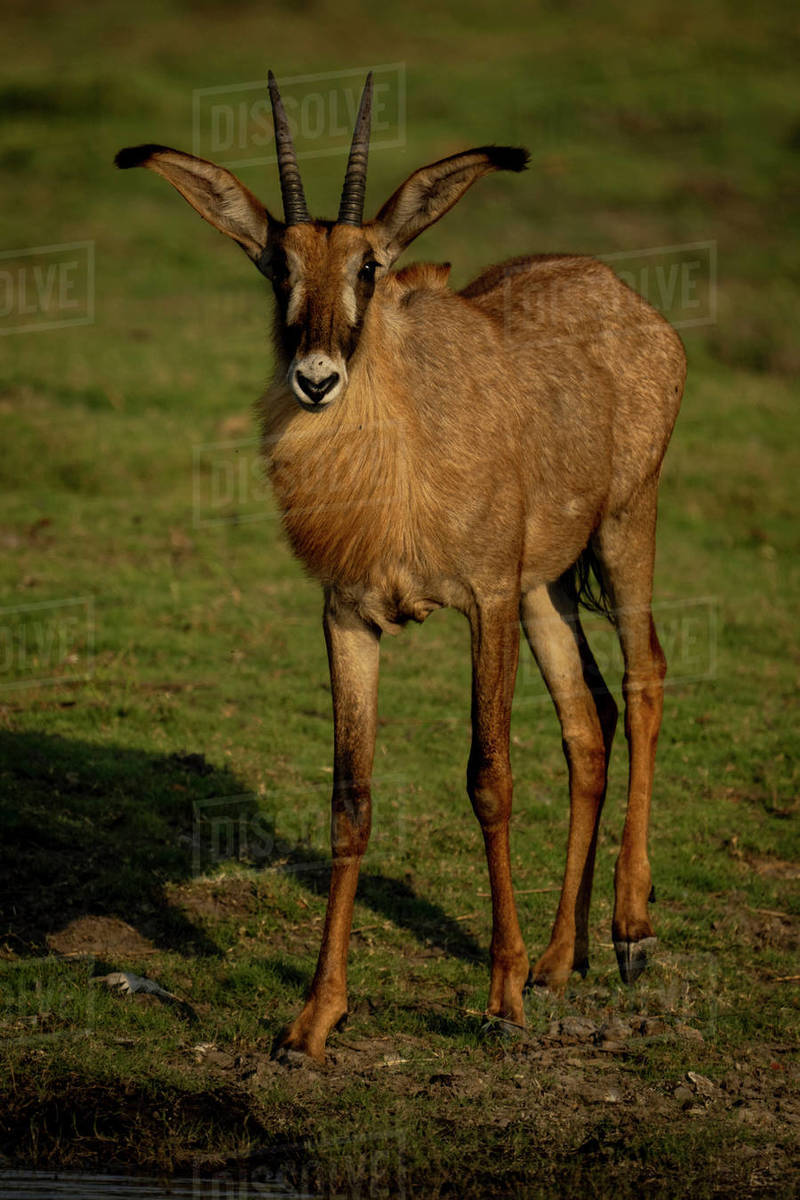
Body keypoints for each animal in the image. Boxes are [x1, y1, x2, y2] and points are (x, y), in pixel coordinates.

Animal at [116, 71, 685, 1064]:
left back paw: (628, 934)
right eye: (277, 267)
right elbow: (352, 798)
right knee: (588, 721)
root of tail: (625, 298)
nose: (315, 379)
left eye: (370, 266)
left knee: (643, 677)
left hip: (623, 527)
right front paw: (315, 1017)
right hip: (548, 589)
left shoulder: (484, 602)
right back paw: (560, 958)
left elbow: (489, 777)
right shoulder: (350, 615)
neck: (402, 445)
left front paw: (500, 998)